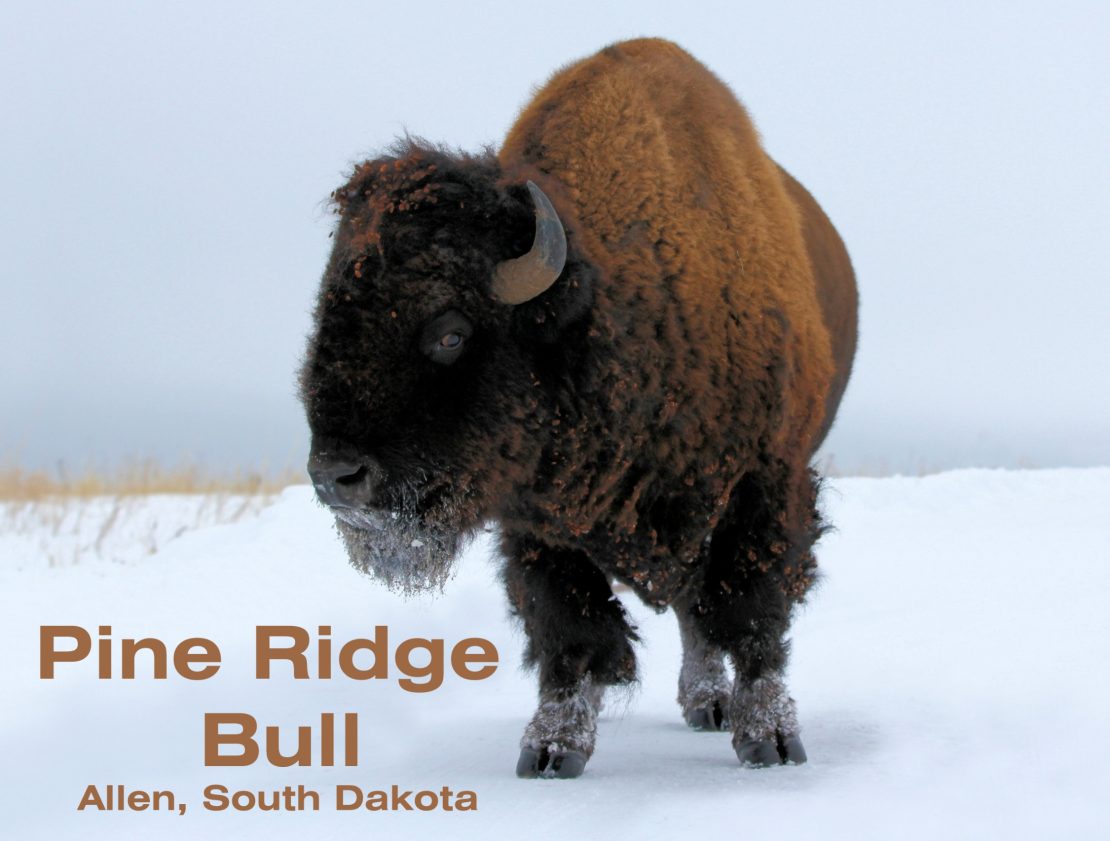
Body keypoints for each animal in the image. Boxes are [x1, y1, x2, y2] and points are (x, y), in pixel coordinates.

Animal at [300, 37, 858, 778]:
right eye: (326, 319)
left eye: (449, 332)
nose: (336, 475)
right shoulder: (537, 521)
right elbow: (571, 627)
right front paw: (550, 749)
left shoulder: (763, 486)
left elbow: (750, 614)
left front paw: (770, 739)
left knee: (702, 610)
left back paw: (714, 707)